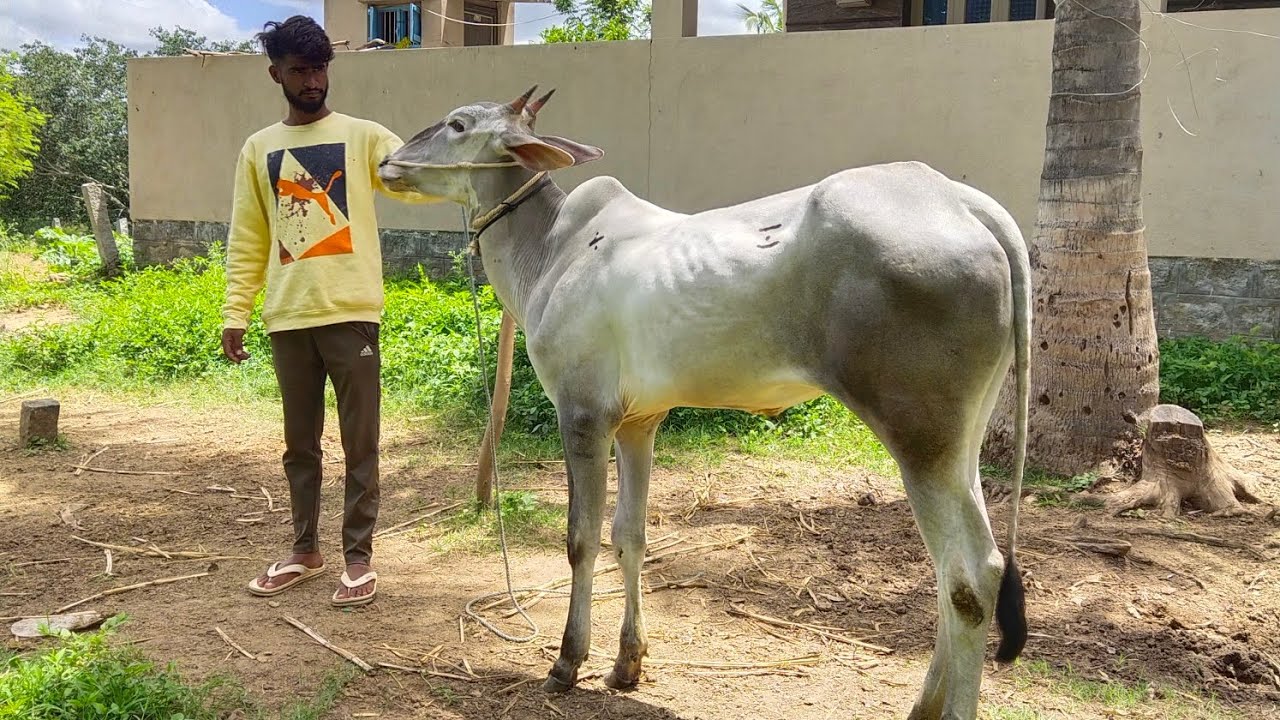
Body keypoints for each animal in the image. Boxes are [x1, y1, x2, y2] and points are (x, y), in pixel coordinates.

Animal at [377, 86, 1030, 720]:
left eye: (458, 124)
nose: (387, 162)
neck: (550, 248)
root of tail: (961, 201)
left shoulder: (582, 415)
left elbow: (581, 540)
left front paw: (568, 662)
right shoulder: (637, 423)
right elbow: (630, 536)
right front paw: (627, 664)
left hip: (918, 436)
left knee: (969, 574)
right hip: (961, 440)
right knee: (956, 572)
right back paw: (923, 703)